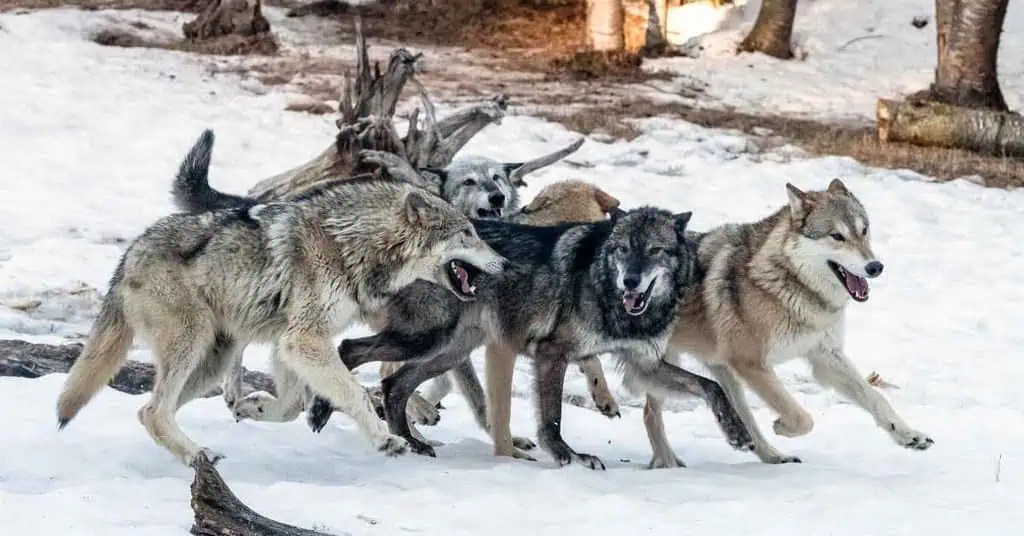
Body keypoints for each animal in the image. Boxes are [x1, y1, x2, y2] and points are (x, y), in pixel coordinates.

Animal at [55, 130, 507, 466]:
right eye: (468, 233)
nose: (503, 263)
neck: (348, 244)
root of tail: (129, 254)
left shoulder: (290, 342)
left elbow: (290, 406)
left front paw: (254, 408)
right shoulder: (304, 340)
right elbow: (354, 391)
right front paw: (384, 440)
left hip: (212, 359)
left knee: (148, 410)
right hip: (191, 343)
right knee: (153, 410)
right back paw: (199, 454)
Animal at [330, 207, 756, 468]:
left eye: (654, 250)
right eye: (622, 249)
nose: (631, 281)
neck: (607, 291)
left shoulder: (643, 367)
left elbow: (712, 386)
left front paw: (738, 433)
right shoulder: (553, 353)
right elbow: (551, 417)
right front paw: (570, 456)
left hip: (447, 351)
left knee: (394, 385)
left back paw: (413, 443)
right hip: (423, 339)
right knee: (349, 351)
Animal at [644, 179, 934, 469]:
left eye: (864, 230)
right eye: (837, 236)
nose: (875, 267)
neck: (790, 285)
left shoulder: (825, 357)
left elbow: (876, 397)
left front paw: (909, 435)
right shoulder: (751, 364)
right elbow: (802, 417)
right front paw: (781, 426)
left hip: (722, 372)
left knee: (743, 420)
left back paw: (774, 456)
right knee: (650, 414)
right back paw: (667, 463)